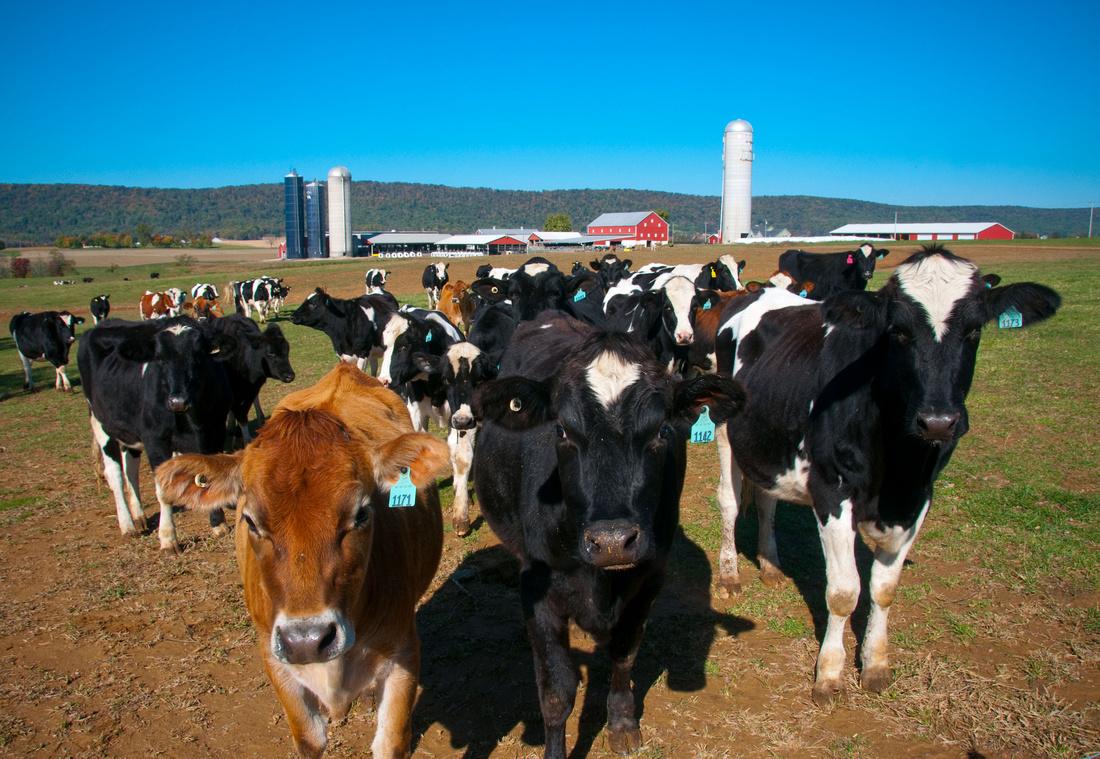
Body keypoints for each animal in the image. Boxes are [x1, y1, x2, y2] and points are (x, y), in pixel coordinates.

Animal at [78, 317, 235, 552]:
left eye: (199, 356)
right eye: (159, 358)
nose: (177, 401)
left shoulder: (214, 430)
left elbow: (208, 477)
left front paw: (218, 524)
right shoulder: (155, 440)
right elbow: (163, 490)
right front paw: (168, 538)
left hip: (129, 431)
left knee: (130, 469)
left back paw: (139, 515)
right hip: (100, 422)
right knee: (115, 474)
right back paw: (127, 525)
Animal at [153, 364, 450, 758]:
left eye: (361, 513)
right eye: (250, 520)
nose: (306, 641)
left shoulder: (403, 654)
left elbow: (390, 740)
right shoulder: (275, 660)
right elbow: (309, 738)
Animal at [472, 315, 745, 759]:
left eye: (662, 429)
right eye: (562, 430)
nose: (613, 541)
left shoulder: (649, 580)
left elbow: (624, 654)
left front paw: (621, 723)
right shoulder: (539, 588)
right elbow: (556, 691)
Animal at [712, 246, 1061, 705]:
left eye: (973, 330)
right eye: (898, 332)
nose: (938, 421)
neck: (898, 461)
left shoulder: (919, 496)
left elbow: (884, 588)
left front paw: (876, 664)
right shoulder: (832, 491)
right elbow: (844, 592)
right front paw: (829, 673)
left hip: (770, 439)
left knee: (768, 498)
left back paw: (769, 565)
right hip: (724, 426)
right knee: (730, 501)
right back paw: (730, 575)